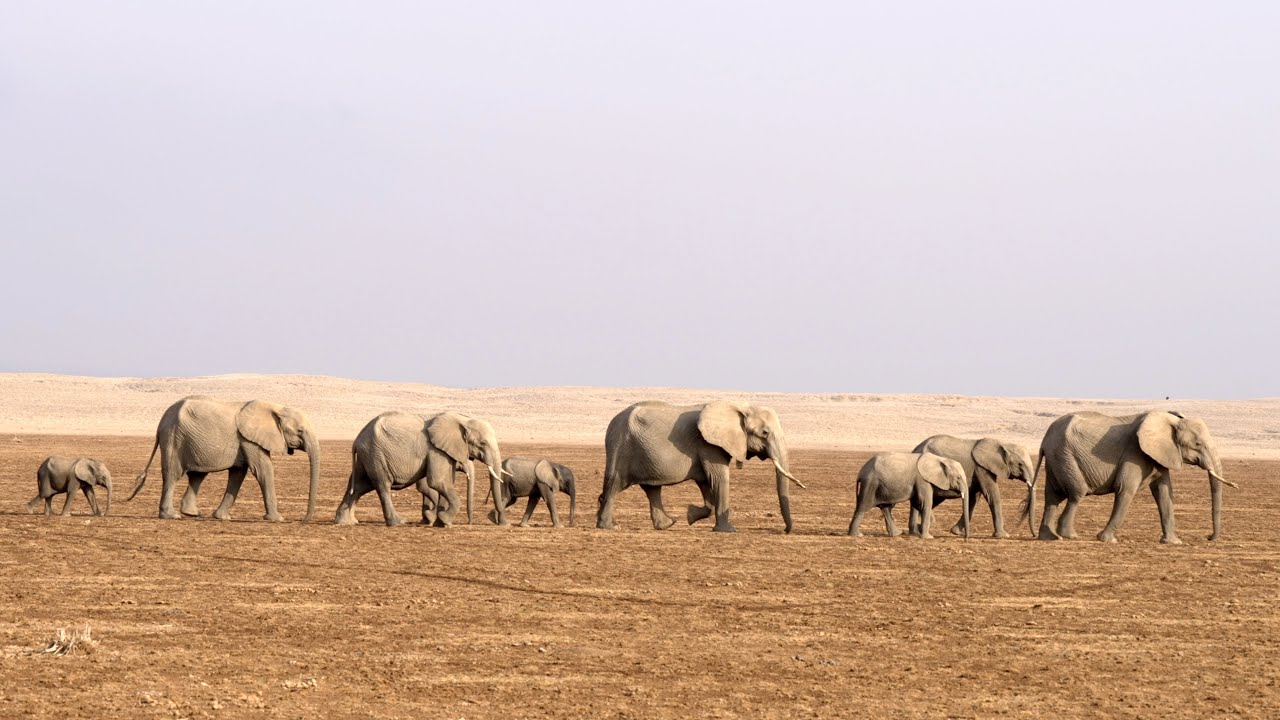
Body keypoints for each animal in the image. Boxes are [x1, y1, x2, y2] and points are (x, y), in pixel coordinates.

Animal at [128, 395, 321, 522]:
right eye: (300, 431)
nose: (304, 520)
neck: (277, 407)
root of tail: (161, 421)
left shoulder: (244, 440)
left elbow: (238, 474)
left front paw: (222, 517)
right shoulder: (249, 439)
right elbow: (262, 470)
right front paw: (277, 519)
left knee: (197, 475)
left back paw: (192, 513)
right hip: (174, 438)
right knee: (172, 475)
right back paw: (171, 516)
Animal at [333, 411, 507, 527]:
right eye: (482, 443)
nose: (503, 523)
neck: (462, 419)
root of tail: (356, 440)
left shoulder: (443, 453)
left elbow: (444, 483)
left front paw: (439, 522)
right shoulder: (436, 451)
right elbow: (437, 482)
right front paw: (444, 521)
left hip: (367, 457)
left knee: (359, 486)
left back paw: (346, 522)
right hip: (376, 455)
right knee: (382, 486)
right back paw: (398, 522)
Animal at [596, 400, 804, 533]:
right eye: (765, 433)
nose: (785, 530)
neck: (741, 407)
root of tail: (613, 421)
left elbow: (706, 482)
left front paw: (690, 515)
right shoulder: (709, 445)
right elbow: (719, 478)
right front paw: (728, 531)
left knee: (651, 488)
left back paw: (667, 524)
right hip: (622, 446)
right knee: (615, 484)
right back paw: (610, 527)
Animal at [1020, 410, 1233, 544]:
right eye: (1197, 444)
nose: (1208, 537)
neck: (1170, 419)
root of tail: (1044, 441)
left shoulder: (1161, 455)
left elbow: (1164, 493)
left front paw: (1173, 542)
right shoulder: (1134, 453)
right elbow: (1125, 489)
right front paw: (1107, 540)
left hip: (1056, 460)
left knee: (1052, 496)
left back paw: (1050, 537)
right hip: (1065, 457)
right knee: (1076, 493)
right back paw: (1069, 535)